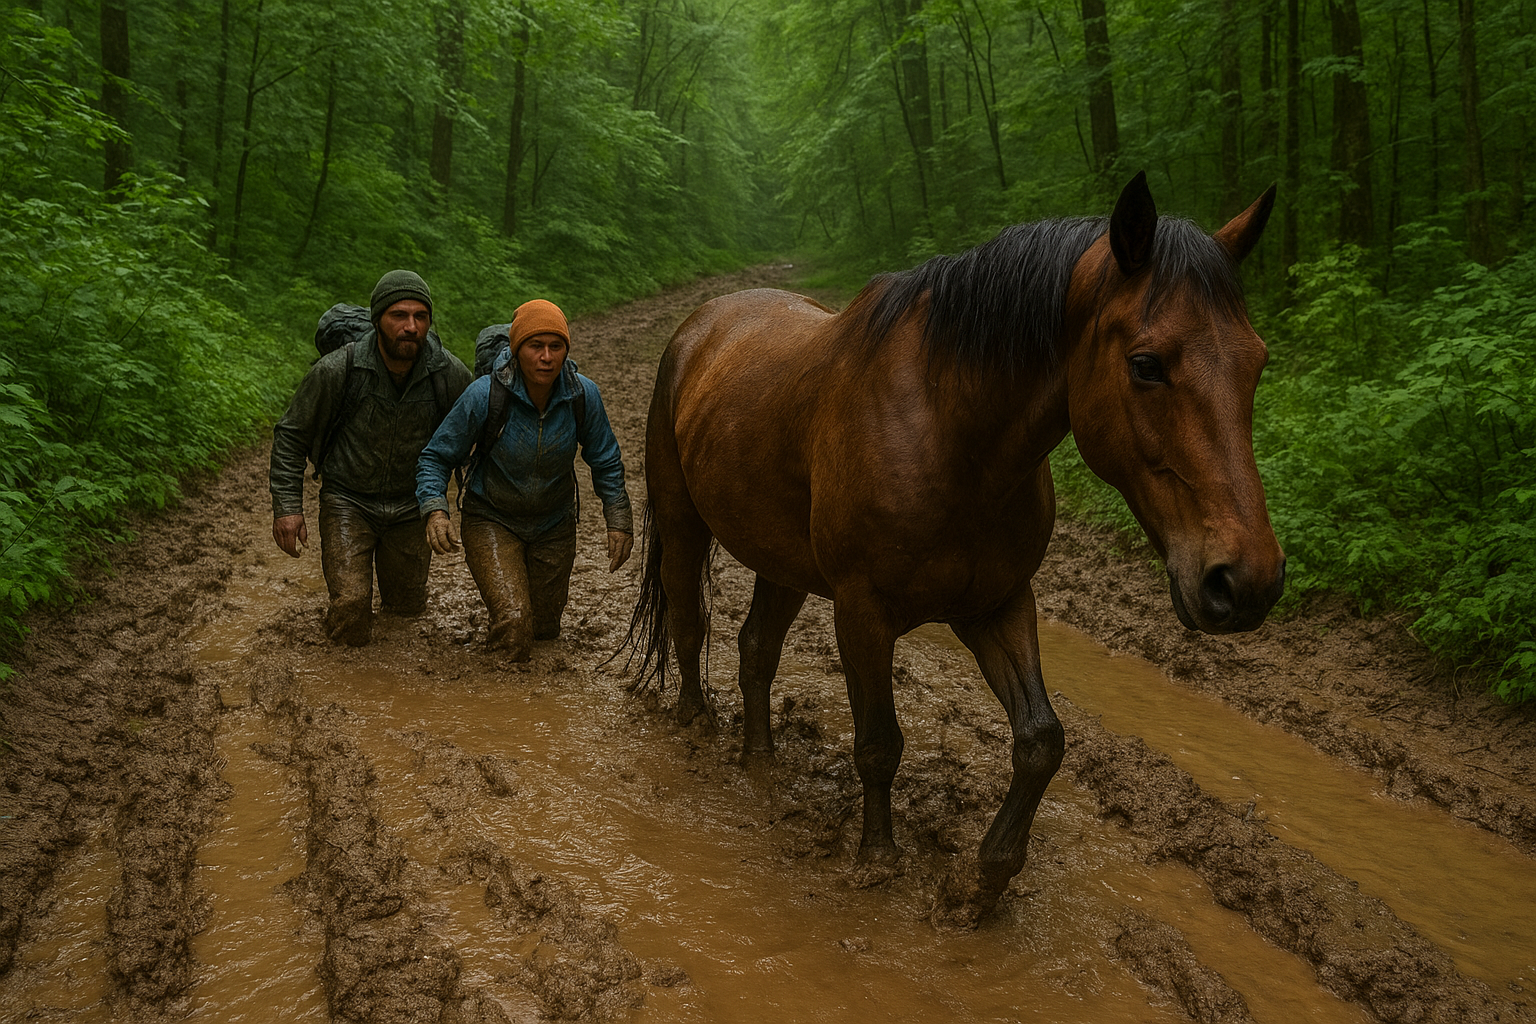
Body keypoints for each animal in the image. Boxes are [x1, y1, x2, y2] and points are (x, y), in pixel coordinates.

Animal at [626, 172, 1286, 927]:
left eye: (1257, 362)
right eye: (1146, 365)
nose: (1247, 581)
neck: (949, 432)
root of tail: (700, 326)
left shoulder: (998, 604)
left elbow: (1041, 741)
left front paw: (986, 878)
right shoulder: (862, 612)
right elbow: (879, 744)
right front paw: (878, 858)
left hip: (782, 561)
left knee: (756, 648)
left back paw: (760, 758)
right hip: (684, 526)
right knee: (688, 620)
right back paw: (696, 724)